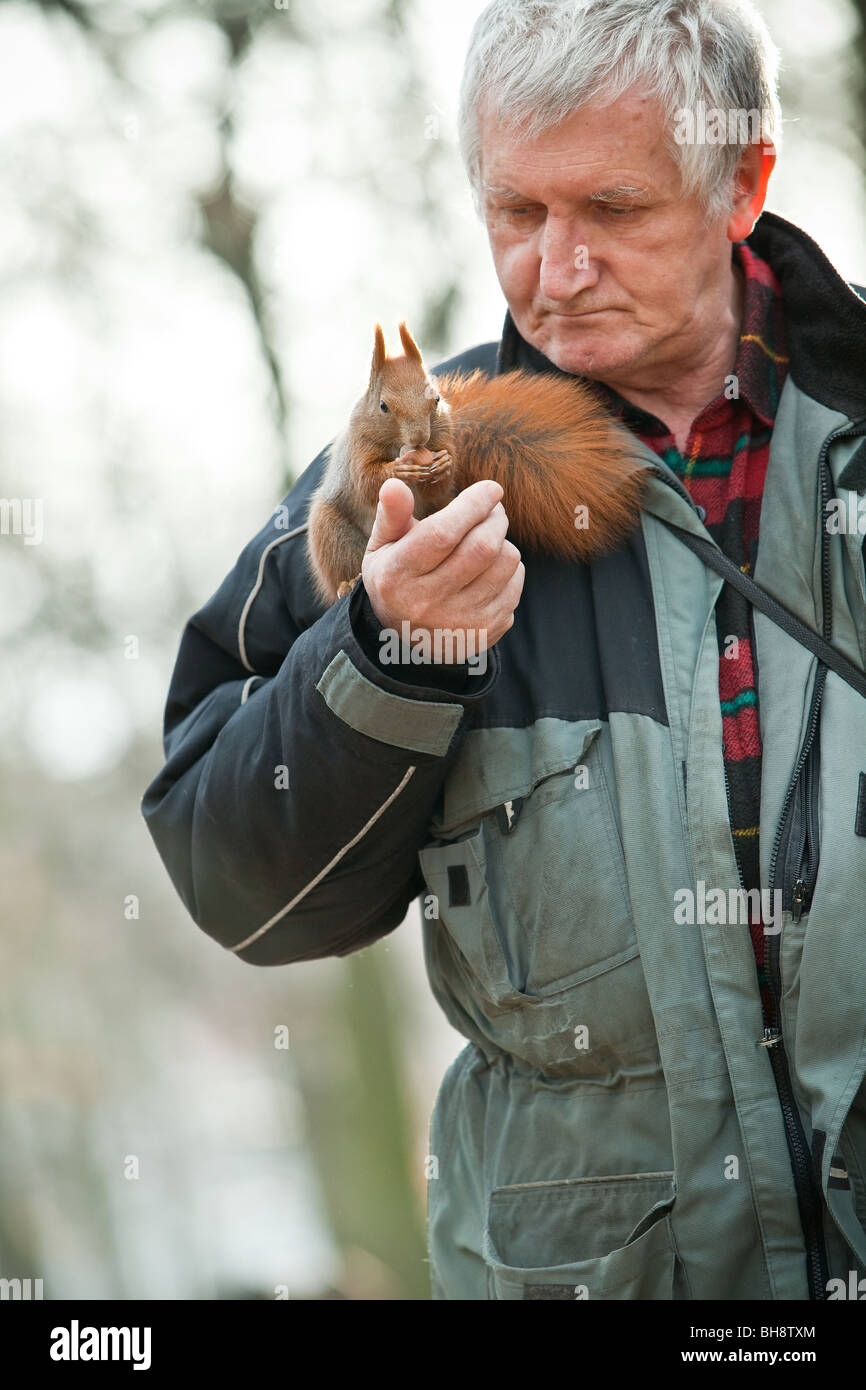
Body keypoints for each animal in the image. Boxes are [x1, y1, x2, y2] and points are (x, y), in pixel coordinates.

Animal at [306, 320, 651, 606]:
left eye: (436, 399)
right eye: (383, 406)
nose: (419, 438)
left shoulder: (443, 435)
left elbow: (439, 478)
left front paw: (443, 464)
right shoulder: (358, 449)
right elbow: (366, 480)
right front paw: (399, 469)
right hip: (333, 533)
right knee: (343, 564)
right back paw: (347, 584)